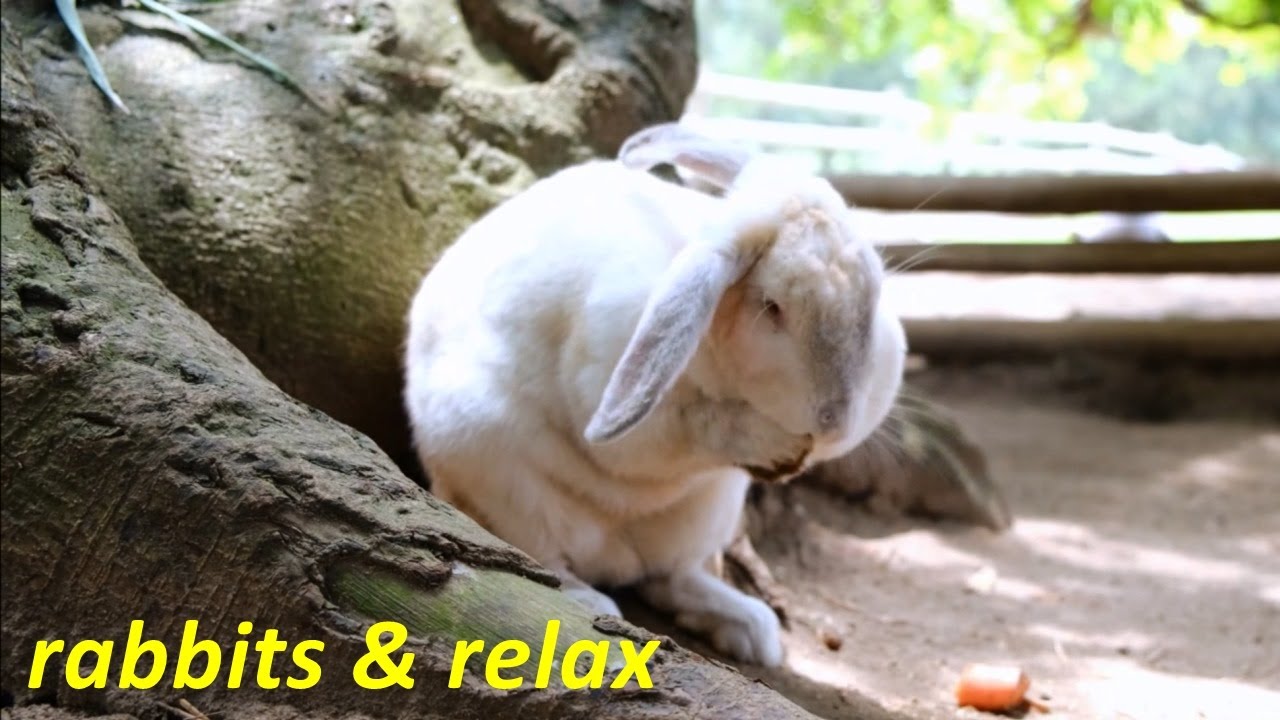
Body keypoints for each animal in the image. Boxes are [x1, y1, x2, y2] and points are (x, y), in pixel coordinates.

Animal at [403, 121, 907, 667]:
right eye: (772, 307)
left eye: (875, 289)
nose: (837, 420)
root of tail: (616, 557)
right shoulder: (619, 398)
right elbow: (692, 426)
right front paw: (774, 444)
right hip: (501, 482)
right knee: (540, 561)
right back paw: (591, 601)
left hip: (704, 516)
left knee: (670, 580)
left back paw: (753, 630)